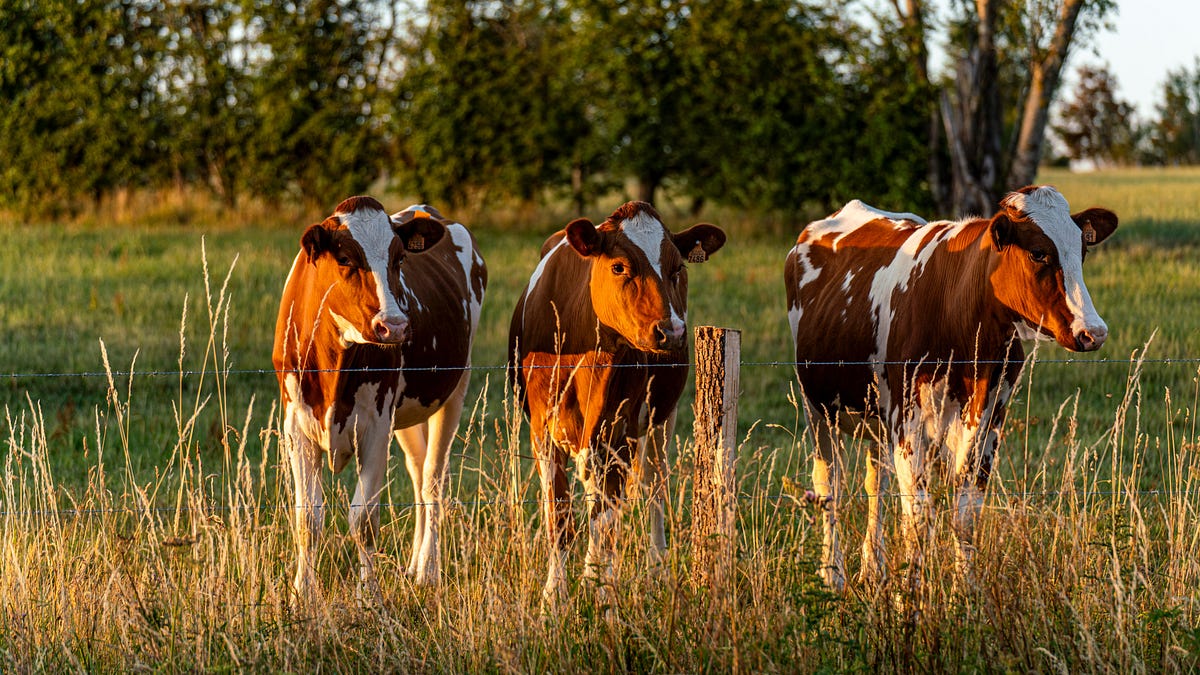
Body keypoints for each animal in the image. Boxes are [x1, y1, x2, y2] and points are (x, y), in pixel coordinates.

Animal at [272, 196, 486, 600]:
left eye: (399, 259)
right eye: (345, 259)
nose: (395, 326)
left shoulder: (375, 427)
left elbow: (364, 519)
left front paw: (368, 597)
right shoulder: (296, 426)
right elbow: (307, 518)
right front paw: (302, 594)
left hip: (454, 389)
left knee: (433, 479)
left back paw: (429, 570)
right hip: (407, 414)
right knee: (418, 472)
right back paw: (415, 566)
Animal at [508, 201, 726, 607]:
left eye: (678, 268)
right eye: (619, 266)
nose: (671, 331)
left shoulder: (618, 437)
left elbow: (605, 523)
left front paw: (600, 596)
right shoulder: (543, 433)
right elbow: (559, 517)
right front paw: (553, 600)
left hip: (659, 420)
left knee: (654, 488)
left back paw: (656, 570)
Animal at [784, 185, 1118, 592]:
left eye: (1082, 251)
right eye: (1039, 252)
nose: (1093, 332)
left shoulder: (989, 418)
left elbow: (965, 512)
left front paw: (965, 591)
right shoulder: (908, 422)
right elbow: (917, 516)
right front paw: (910, 594)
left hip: (876, 417)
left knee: (875, 482)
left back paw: (873, 567)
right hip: (817, 409)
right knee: (828, 485)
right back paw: (833, 574)